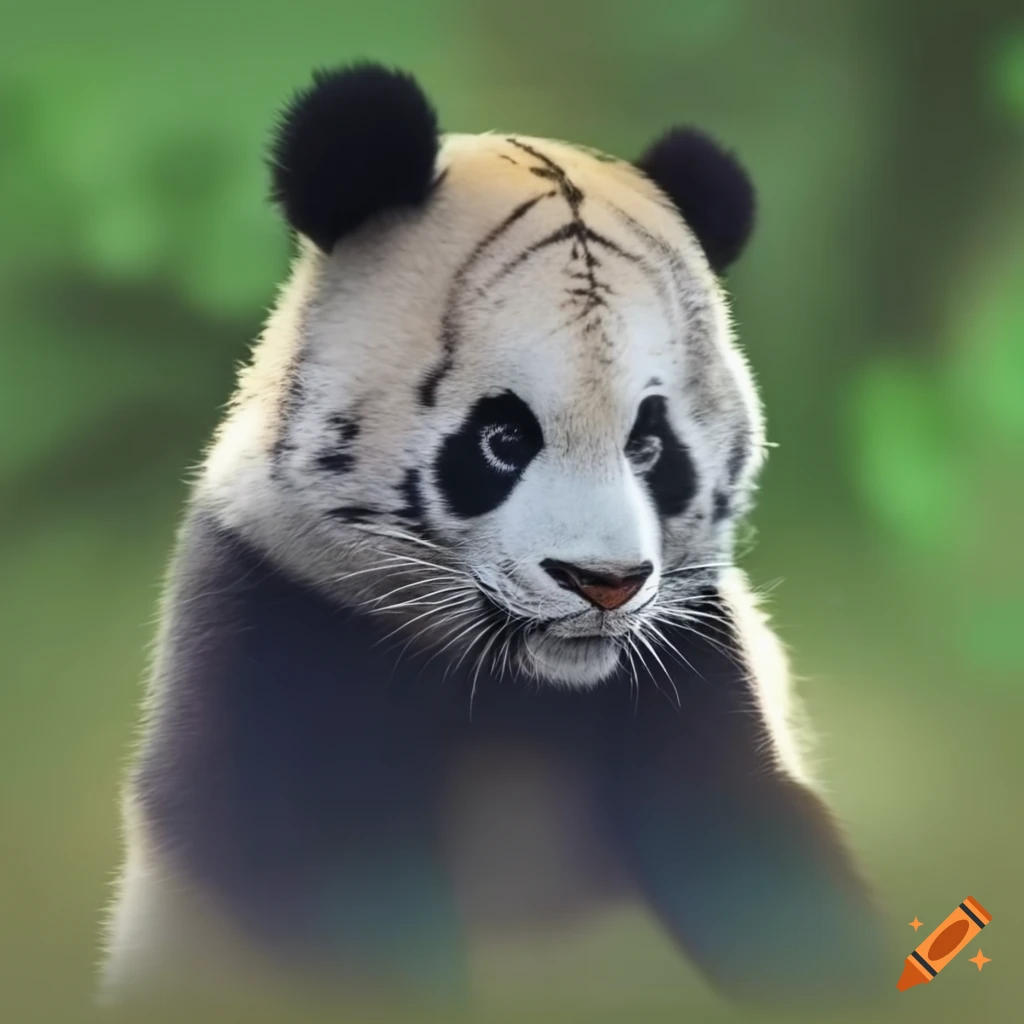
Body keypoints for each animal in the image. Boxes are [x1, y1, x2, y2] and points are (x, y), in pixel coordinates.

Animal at [100, 63, 887, 1009]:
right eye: (503, 436)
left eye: (650, 443)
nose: (604, 582)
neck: (523, 688)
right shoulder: (275, 628)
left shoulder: (690, 665)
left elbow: (750, 849)